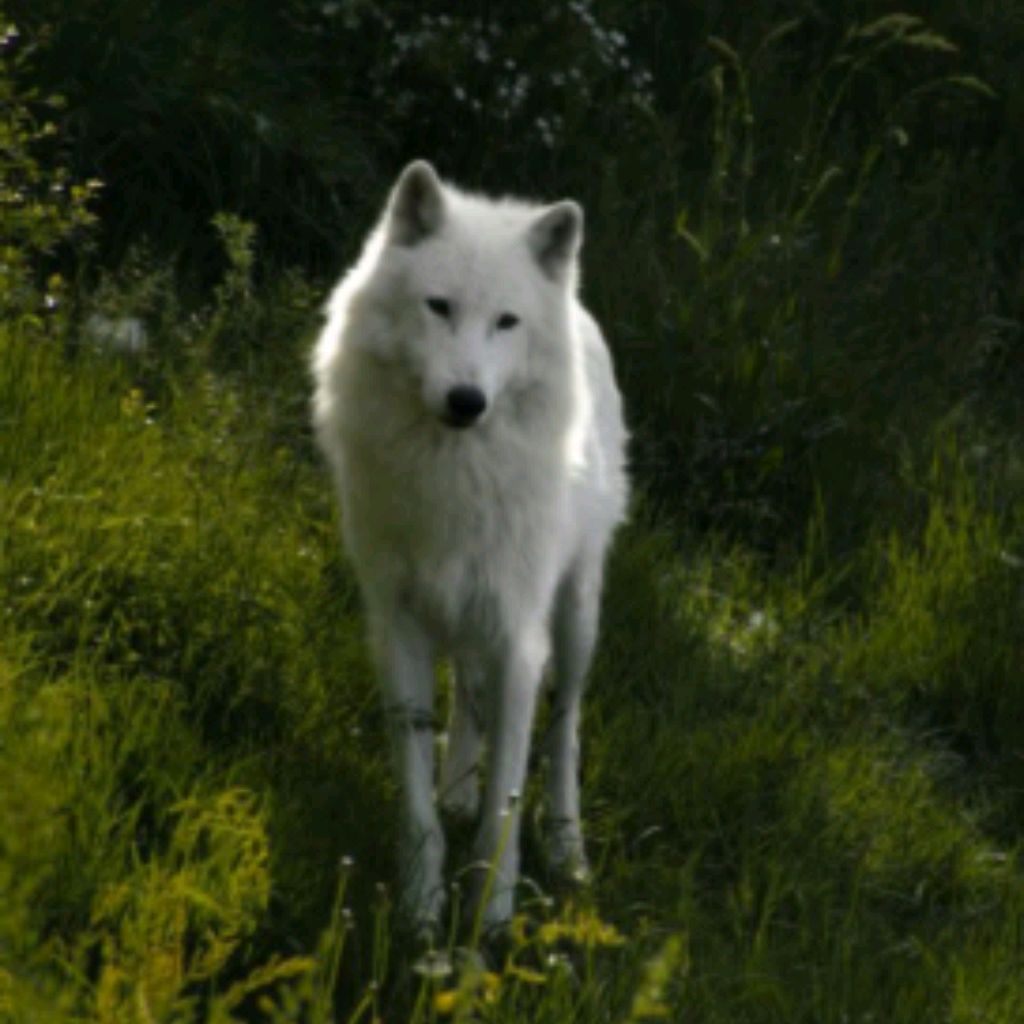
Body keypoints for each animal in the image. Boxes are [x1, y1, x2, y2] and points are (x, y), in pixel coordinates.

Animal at [311, 160, 629, 936]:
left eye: (506, 322)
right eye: (439, 308)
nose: (466, 401)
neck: (453, 473)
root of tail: (578, 305)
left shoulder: (520, 642)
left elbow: (503, 810)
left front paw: (490, 920)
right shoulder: (398, 627)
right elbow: (419, 801)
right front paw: (423, 913)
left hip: (575, 619)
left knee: (566, 730)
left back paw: (567, 848)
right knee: (468, 692)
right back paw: (459, 786)